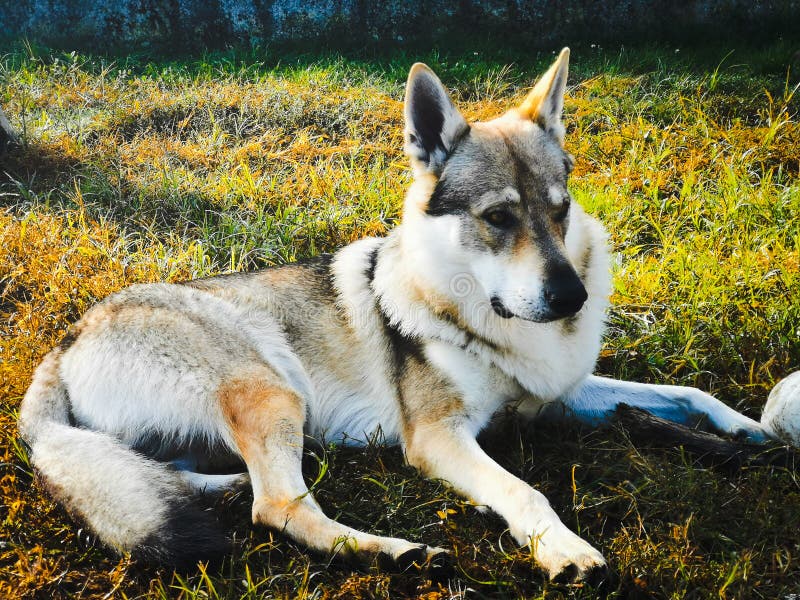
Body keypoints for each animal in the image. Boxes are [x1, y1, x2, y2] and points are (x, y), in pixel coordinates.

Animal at [19, 49, 772, 585]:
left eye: (559, 211)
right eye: (499, 219)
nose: (571, 299)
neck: (484, 314)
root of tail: (65, 342)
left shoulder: (564, 393)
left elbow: (684, 392)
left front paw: (750, 430)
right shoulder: (438, 437)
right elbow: (526, 491)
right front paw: (563, 551)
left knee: (188, 478)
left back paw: (227, 490)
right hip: (272, 387)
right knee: (279, 507)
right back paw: (392, 552)